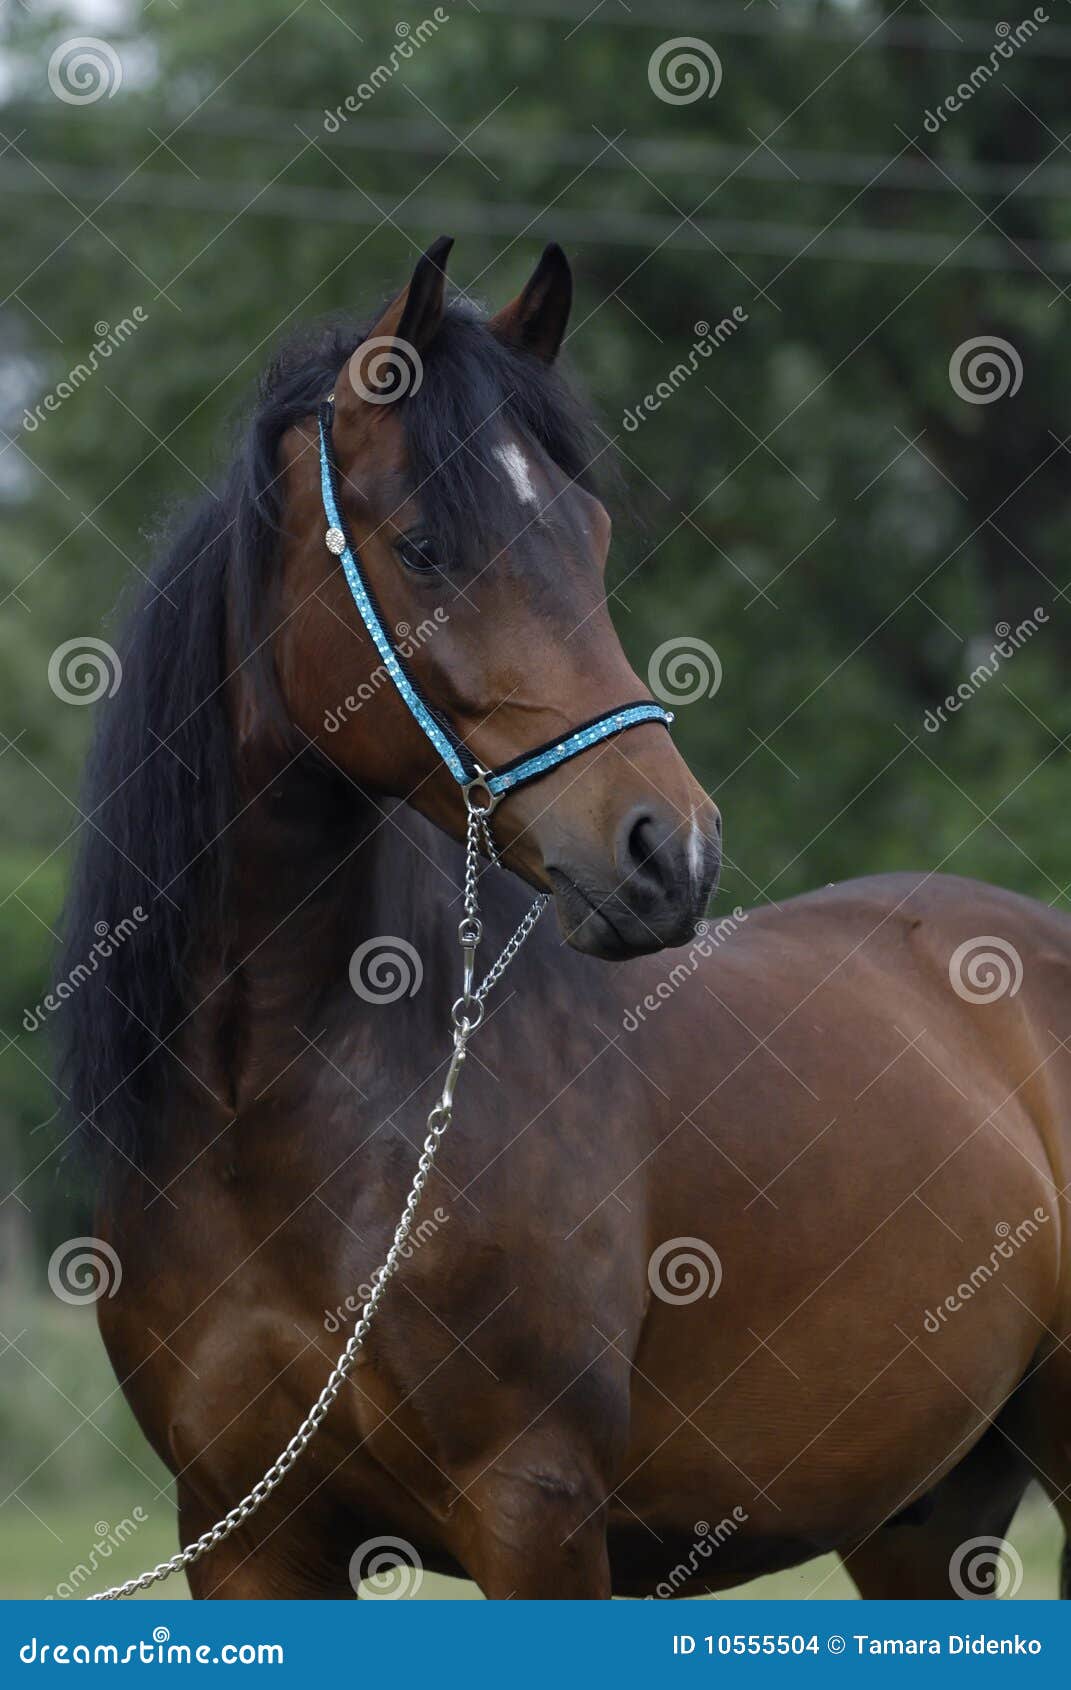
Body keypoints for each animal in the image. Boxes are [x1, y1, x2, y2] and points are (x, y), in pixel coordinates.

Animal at [58, 238, 1071, 1601]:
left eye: (587, 536)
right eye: (426, 546)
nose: (670, 852)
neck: (270, 1108)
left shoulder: (535, 1508)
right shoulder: (244, 1530)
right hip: (924, 1514)